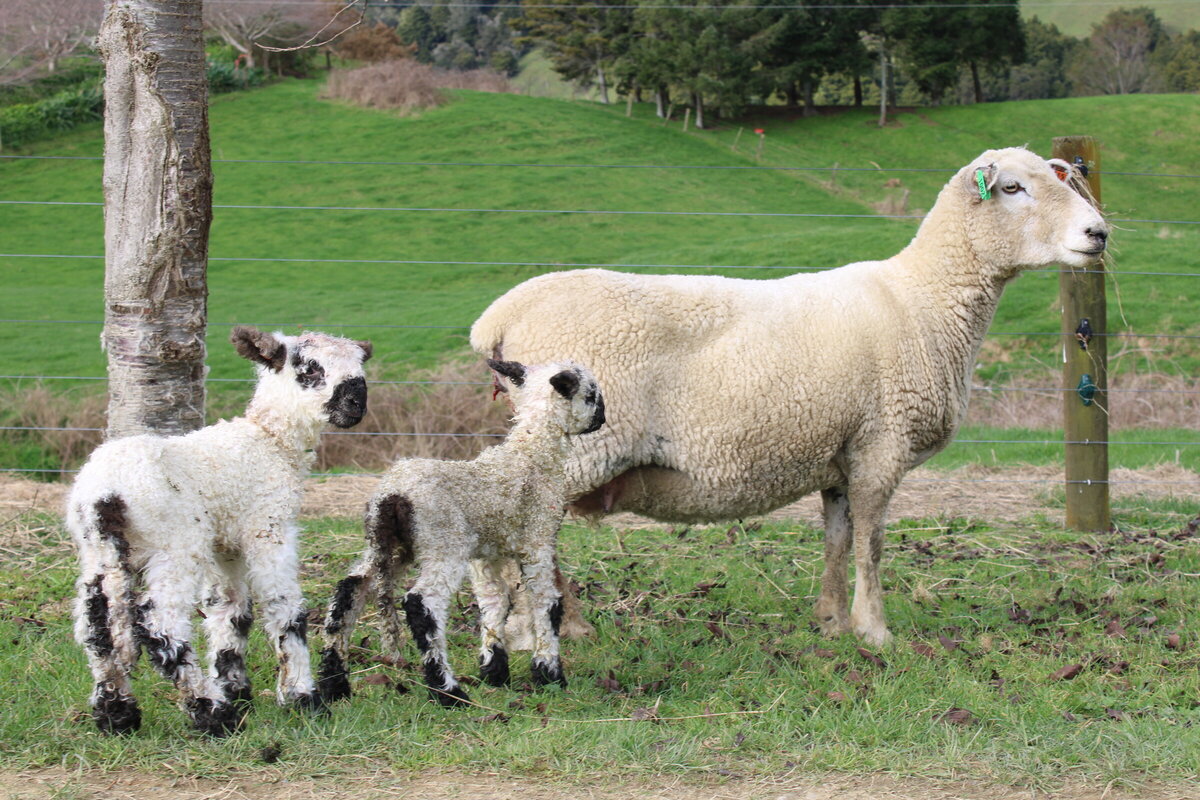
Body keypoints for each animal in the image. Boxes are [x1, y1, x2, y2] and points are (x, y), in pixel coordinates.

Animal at [66, 326, 372, 736]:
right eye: (309, 368)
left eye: (360, 365)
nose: (356, 403)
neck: (268, 440)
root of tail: (104, 495)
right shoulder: (266, 524)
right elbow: (283, 606)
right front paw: (302, 697)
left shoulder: (226, 543)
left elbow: (230, 610)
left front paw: (236, 688)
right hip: (174, 543)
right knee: (162, 623)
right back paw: (212, 713)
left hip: (99, 552)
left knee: (97, 626)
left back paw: (117, 714)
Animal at [317, 359, 604, 707]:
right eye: (591, 394)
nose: (602, 419)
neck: (530, 455)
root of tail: (393, 495)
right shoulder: (538, 539)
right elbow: (547, 603)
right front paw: (549, 674)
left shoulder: (486, 554)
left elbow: (495, 602)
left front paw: (494, 672)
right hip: (443, 542)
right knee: (421, 603)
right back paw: (447, 690)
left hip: (387, 543)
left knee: (350, 589)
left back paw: (334, 685)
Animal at [470, 147, 1109, 648]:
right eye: (1012, 188)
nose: (1098, 233)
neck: (924, 298)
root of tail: (501, 316)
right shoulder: (883, 442)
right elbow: (872, 543)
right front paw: (875, 630)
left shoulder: (843, 451)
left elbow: (838, 538)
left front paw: (831, 620)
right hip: (579, 446)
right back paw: (539, 628)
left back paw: (559, 623)